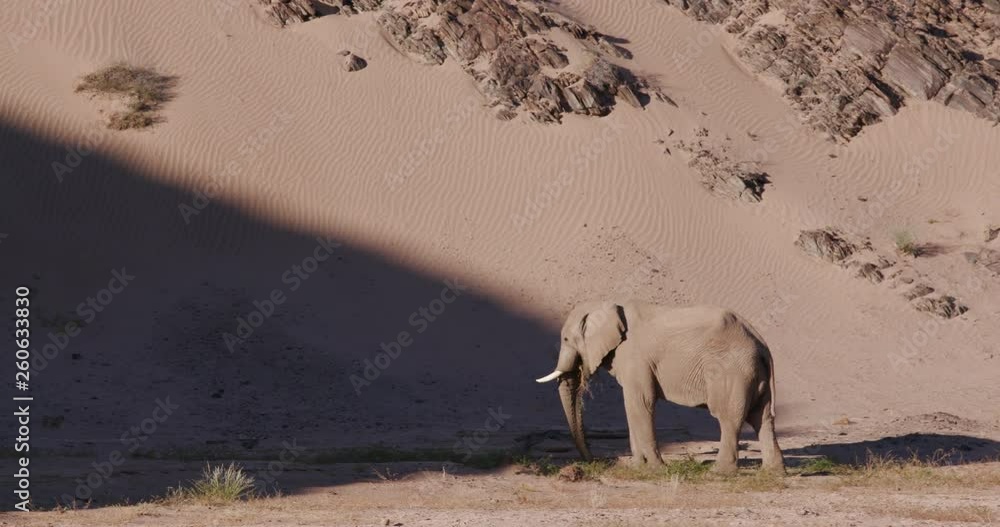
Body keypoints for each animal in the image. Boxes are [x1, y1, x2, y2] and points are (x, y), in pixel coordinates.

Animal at [536, 301, 784, 475]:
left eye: (566, 339)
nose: (597, 461)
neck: (606, 304)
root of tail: (762, 344)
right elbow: (632, 407)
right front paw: (637, 468)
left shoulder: (636, 357)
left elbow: (640, 403)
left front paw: (656, 469)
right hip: (752, 373)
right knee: (762, 417)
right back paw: (773, 472)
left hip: (731, 373)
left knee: (728, 418)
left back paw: (719, 472)